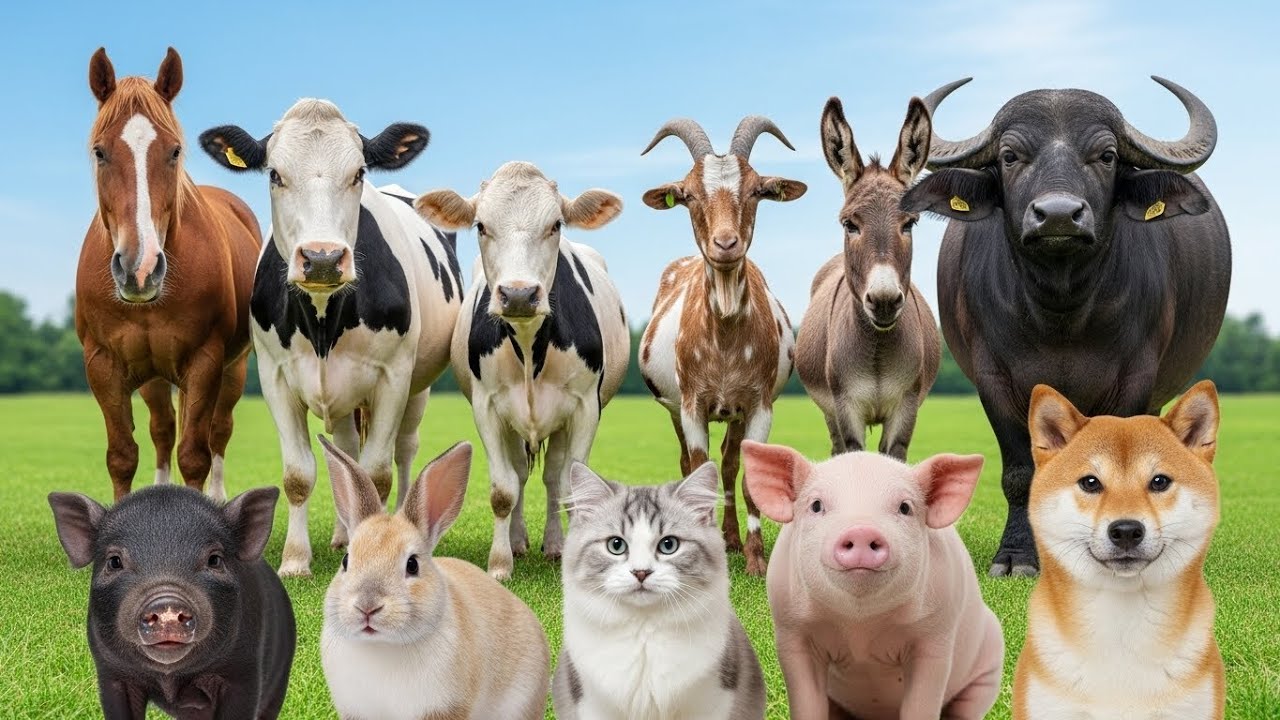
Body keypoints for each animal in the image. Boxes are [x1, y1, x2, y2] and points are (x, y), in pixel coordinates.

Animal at [199, 99, 462, 577]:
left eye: (358, 172)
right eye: (274, 173)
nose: (322, 258)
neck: (323, 320)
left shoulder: (393, 376)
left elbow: (376, 473)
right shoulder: (275, 375)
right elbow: (299, 474)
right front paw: (295, 560)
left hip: (418, 388)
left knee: (404, 451)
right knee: (345, 447)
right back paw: (343, 535)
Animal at [415, 161, 629, 581]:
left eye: (556, 224)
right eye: (481, 225)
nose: (518, 294)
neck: (530, 347)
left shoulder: (586, 408)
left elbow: (571, 489)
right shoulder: (487, 407)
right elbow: (504, 489)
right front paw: (500, 564)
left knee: (553, 478)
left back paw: (554, 544)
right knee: (521, 473)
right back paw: (517, 541)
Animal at [901, 77, 1230, 577]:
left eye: (1107, 155)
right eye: (1009, 155)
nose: (1058, 215)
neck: (1060, 310)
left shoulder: (1136, 377)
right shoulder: (992, 378)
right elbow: (1021, 473)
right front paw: (1017, 557)